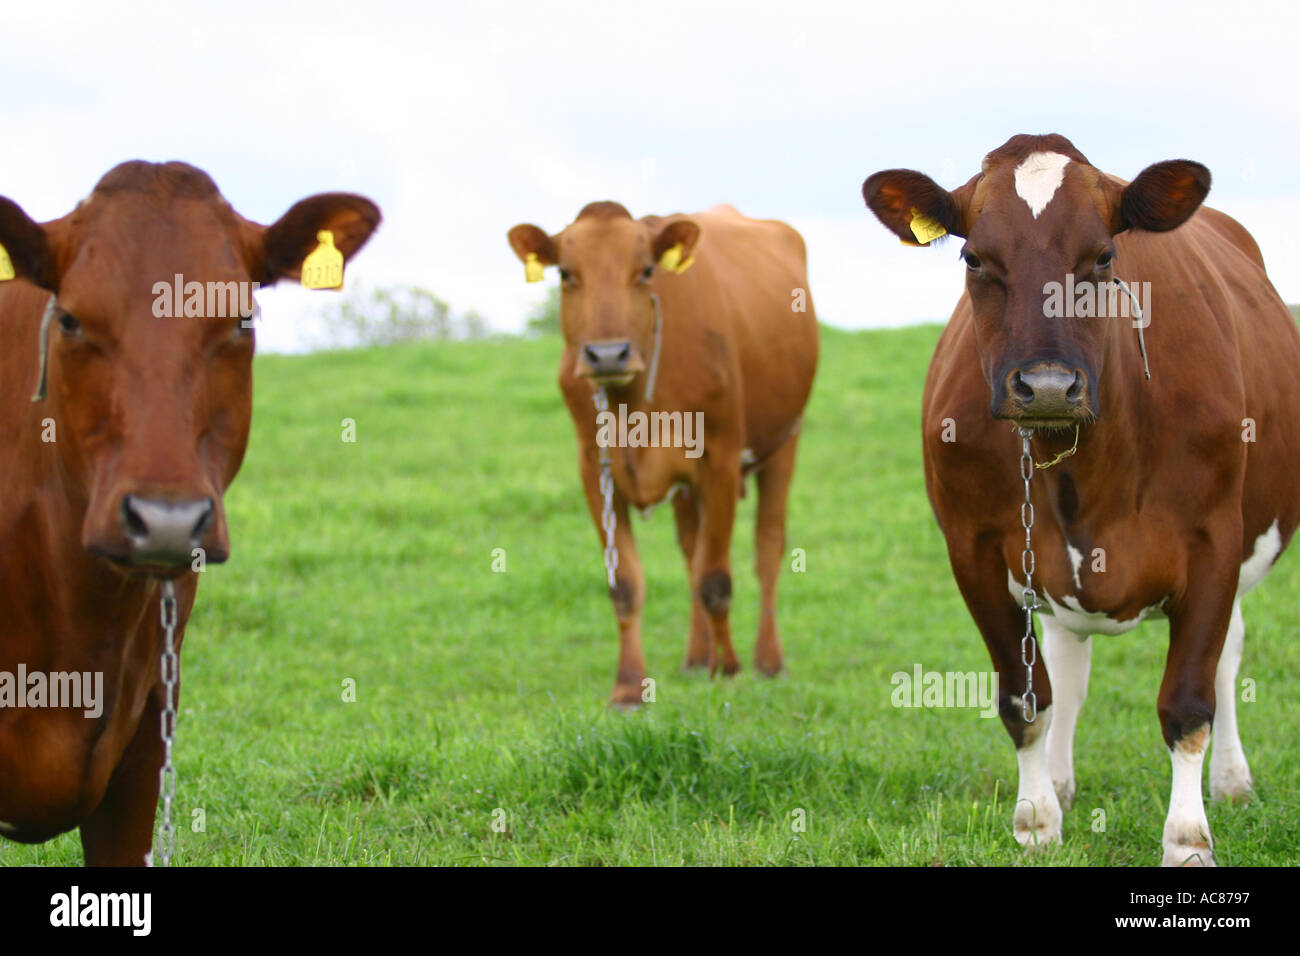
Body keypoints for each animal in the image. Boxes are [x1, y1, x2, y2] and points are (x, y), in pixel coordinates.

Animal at [507, 202, 819, 706]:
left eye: (647, 271)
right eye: (566, 274)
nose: (607, 355)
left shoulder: (720, 460)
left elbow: (715, 578)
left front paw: (729, 670)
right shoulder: (596, 471)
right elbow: (626, 585)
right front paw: (629, 686)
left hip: (785, 440)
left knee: (767, 549)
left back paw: (767, 662)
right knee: (692, 549)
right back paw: (696, 657)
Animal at [863, 133, 1300, 866]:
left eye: (1103, 256)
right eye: (973, 257)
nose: (1045, 386)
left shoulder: (1213, 543)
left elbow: (1189, 701)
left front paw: (1187, 839)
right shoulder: (974, 552)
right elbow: (1025, 697)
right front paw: (1036, 818)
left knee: (1229, 651)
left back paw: (1233, 782)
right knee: (1067, 663)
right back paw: (1061, 782)